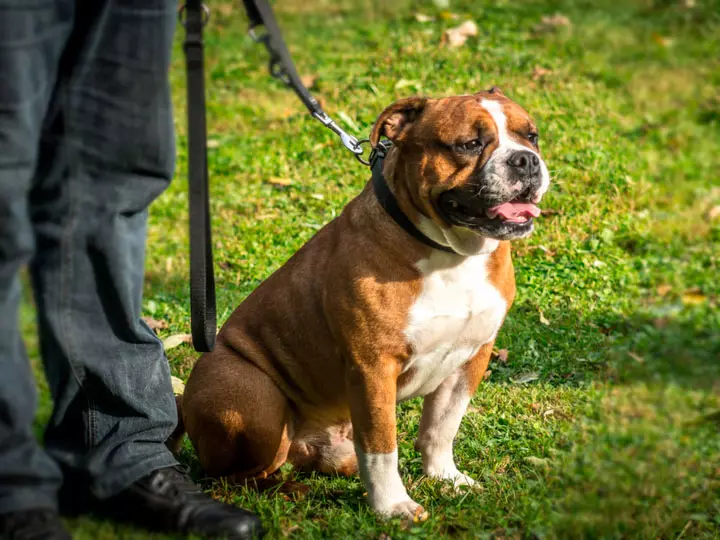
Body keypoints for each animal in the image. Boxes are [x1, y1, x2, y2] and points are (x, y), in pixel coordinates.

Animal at [174, 88, 552, 520]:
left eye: (532, 136)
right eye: (469, 144)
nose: (525, 160)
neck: (451, 253)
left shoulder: (471, 357)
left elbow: (442, 426)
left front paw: (445, 477)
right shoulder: (373, 368)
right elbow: (381, 446)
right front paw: (393, 506)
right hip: (252, 395)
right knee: (234, 476)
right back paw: (288, 491)